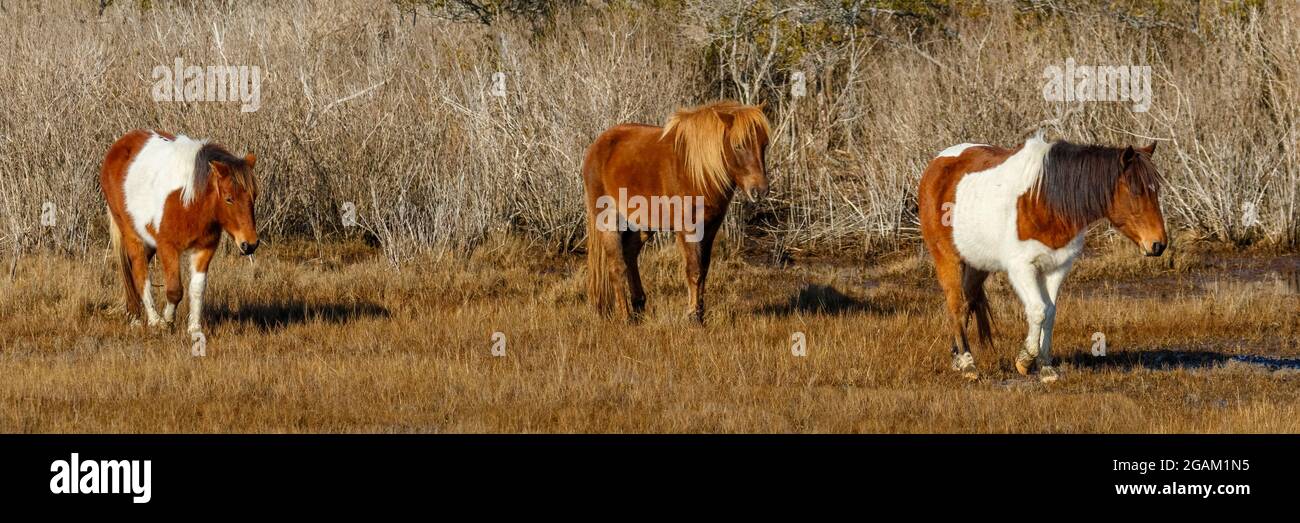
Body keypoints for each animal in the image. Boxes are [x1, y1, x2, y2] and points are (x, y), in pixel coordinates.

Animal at [99, 129, 259, 336]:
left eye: (254, 196)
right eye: (229, 198)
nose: (250, 244)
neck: (190, 201)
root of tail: (117, 148)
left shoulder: (204, 249)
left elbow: (197, 289)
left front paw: (194, 328)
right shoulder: (168, 247)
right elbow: (175, 289)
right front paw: (167, 321)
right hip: (132, 235)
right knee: (140, 274)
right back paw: (148, 320)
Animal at [582, 100, 771, 323]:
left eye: (764, 144)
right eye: (738, 145)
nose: (760, 191)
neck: (697, 171)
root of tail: (596, 146)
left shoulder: (710, 228)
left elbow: (704, 269)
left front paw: (700, 313)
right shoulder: (687, 229)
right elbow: (694, 270)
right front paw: (693, 317)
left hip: (642, 224)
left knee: (629, 254)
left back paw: (639, 306)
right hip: (609, 221)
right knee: (617, 267)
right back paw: (626, 317)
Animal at [918, 134, 1166, 382]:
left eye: (1155, 190)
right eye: (1135, 191)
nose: (1159, 244)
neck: (1043, 201)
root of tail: (936, 165)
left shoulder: (1057, 267)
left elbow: (1050, 313)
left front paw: (1046, 367)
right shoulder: (1021, 269)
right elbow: (1038, 310)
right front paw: (1025, 360)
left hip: (977, 265)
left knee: (967, 302)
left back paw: (958, 358)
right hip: (947, 259)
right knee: (956, 306)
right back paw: (968, 363)